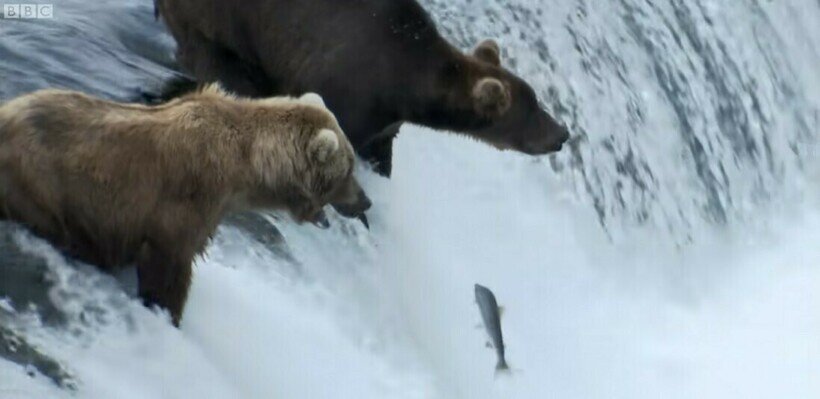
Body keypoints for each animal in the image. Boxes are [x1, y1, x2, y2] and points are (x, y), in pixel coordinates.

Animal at [0, 86, 368, 326]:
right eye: (348, 170)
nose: (366, 201)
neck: (244, 167)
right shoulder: (184, 200)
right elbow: (171, 263)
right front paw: (167, 310)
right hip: (39, 180)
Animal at [154, 0, 568, 177]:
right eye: (532, 112)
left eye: (539, 102)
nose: (562, 133)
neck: (407, 83)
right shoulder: (353, 87)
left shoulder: (386, 116)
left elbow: (380, 147)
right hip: (224, 20)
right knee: (215, 57)